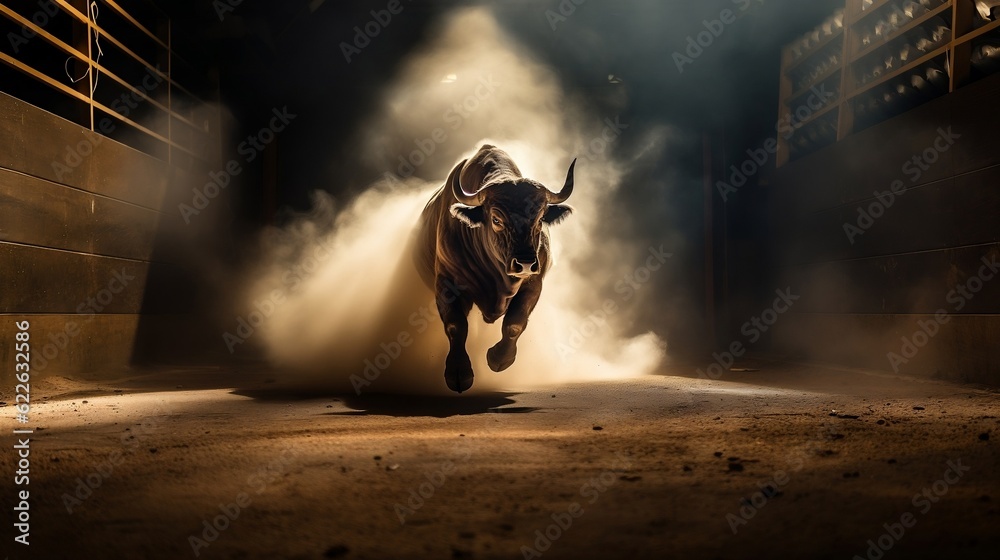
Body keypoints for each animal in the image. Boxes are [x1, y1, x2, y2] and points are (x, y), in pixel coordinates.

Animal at [413, 145, 576, 393]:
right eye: (497, 219)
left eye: (540, 219)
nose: (525, 263)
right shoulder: (446, 283)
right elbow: (456, 326)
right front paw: (459, 374)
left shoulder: (534, 284)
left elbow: (515, 323)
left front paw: (498, 359)